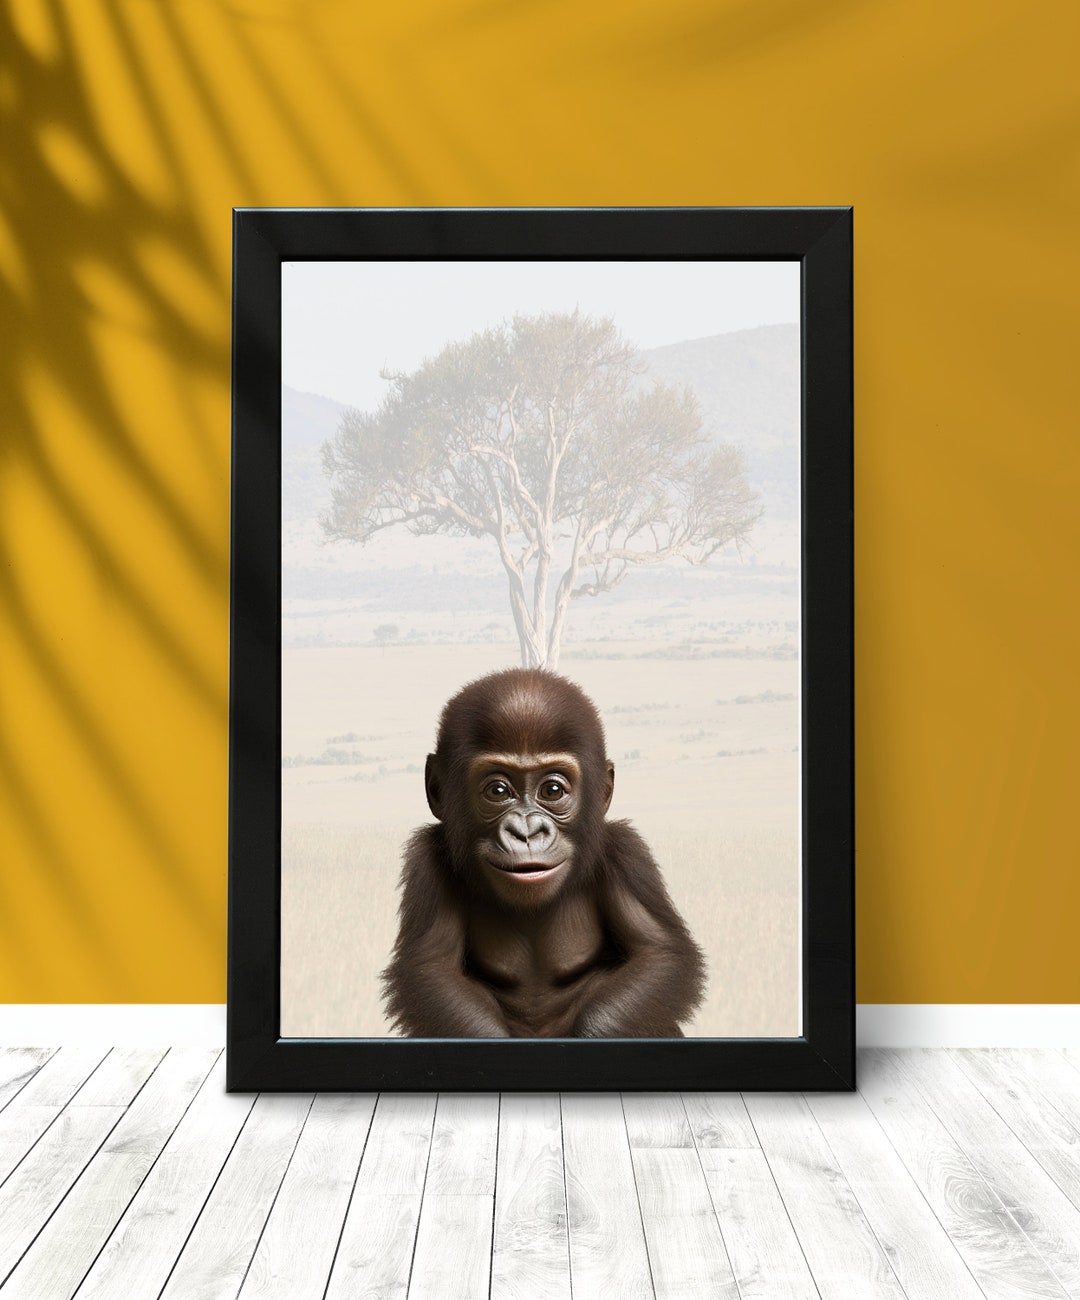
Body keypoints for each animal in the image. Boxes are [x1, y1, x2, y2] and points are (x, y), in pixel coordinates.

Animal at [381, 668, 706, 1038]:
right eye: (498, 790)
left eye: (552, 790)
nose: (526, 831)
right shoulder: (427, 863)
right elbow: (430, 967)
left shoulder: (626, 855)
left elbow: (659, 955)